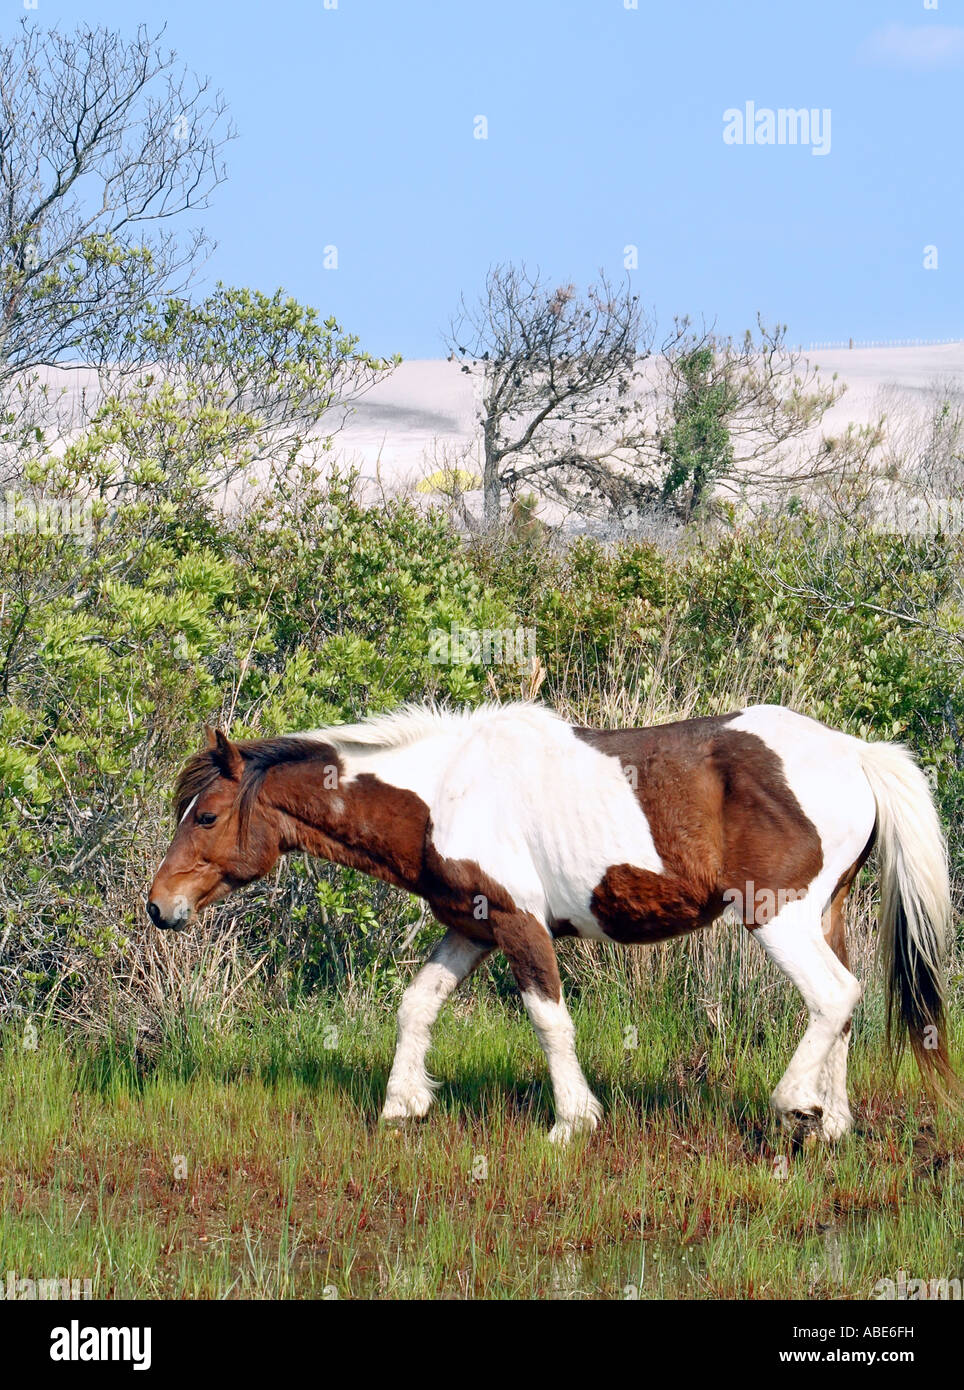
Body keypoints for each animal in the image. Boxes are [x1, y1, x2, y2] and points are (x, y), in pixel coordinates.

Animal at [147, 701, 958, 1143]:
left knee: (834, 996)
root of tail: (855, 752)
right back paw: (834, 1122)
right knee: (844, 1010)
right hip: (827, 915)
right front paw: (403, 1104)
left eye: (207, 815)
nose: (159, 906)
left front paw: (573, 1121)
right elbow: (417, 1006)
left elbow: (549, 1020)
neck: (444, 790)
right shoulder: (472, 928)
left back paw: (796, 1106)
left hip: (778, 918)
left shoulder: (518, 925)